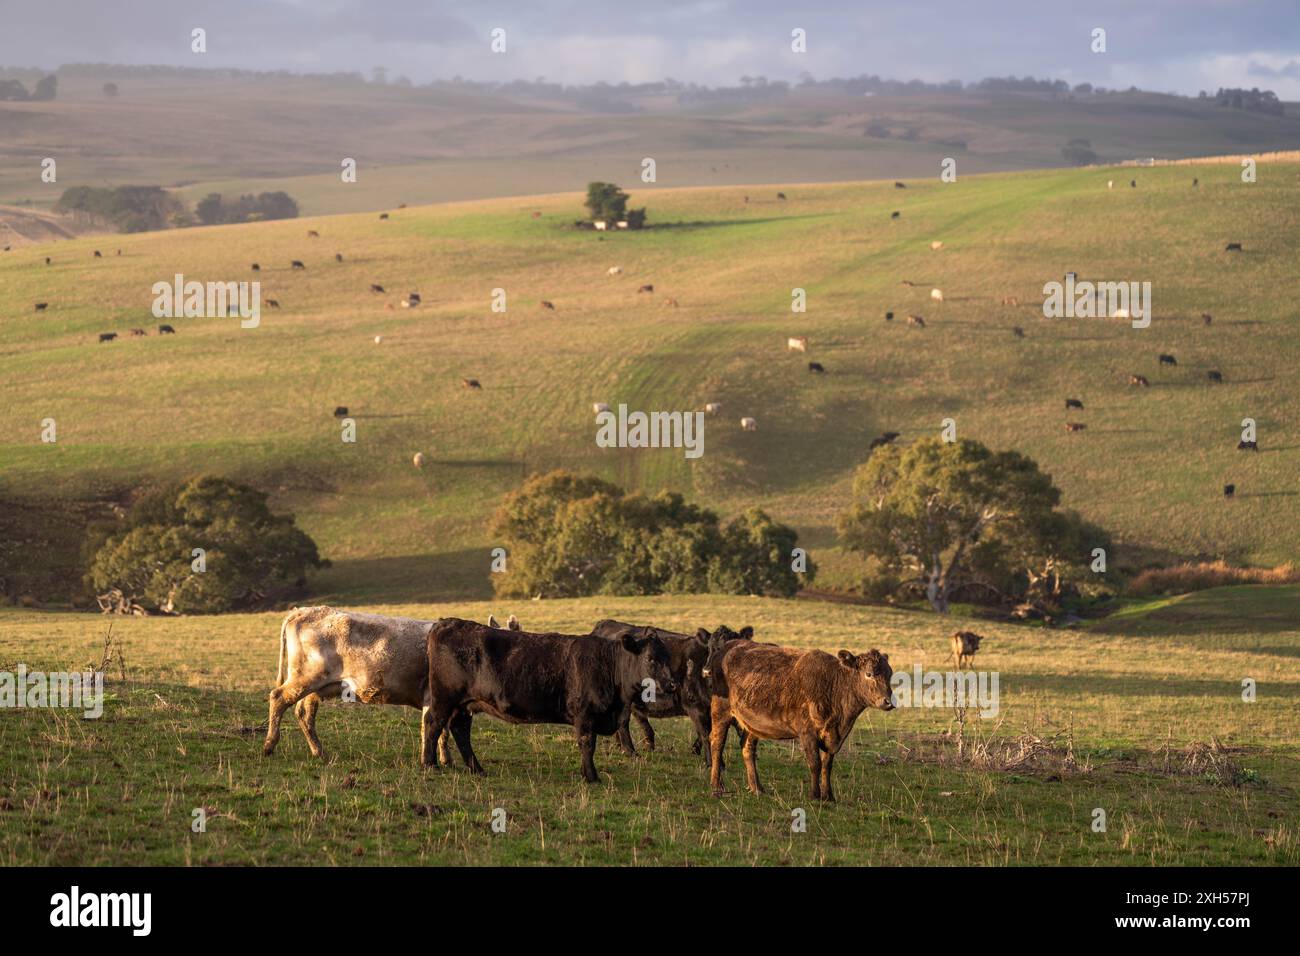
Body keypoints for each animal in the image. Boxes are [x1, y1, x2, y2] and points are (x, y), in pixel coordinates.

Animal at [421, 619, 676, 781]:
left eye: (667, 657)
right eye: (651, 659)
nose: (672, 684)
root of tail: (446, 623)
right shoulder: (584, 715)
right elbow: (587, 744)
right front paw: (591, 776)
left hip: (464, 704)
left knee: (460, 730)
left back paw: (477, 769)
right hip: (445, 698)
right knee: (434, 724)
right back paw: (430, 764)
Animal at [707, 641, 894, 801]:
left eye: (890, 674)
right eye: (869, 674)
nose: (888, 702)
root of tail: (727, 647)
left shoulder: (832, 736)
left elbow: (827, 765)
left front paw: (829, 796)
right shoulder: (807, 732)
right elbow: (815, 763)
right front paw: (814, 795)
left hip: (752, 723)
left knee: (747, 748)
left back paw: (757, 788)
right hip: (720, 711)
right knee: (717, 743)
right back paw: (717, 786)